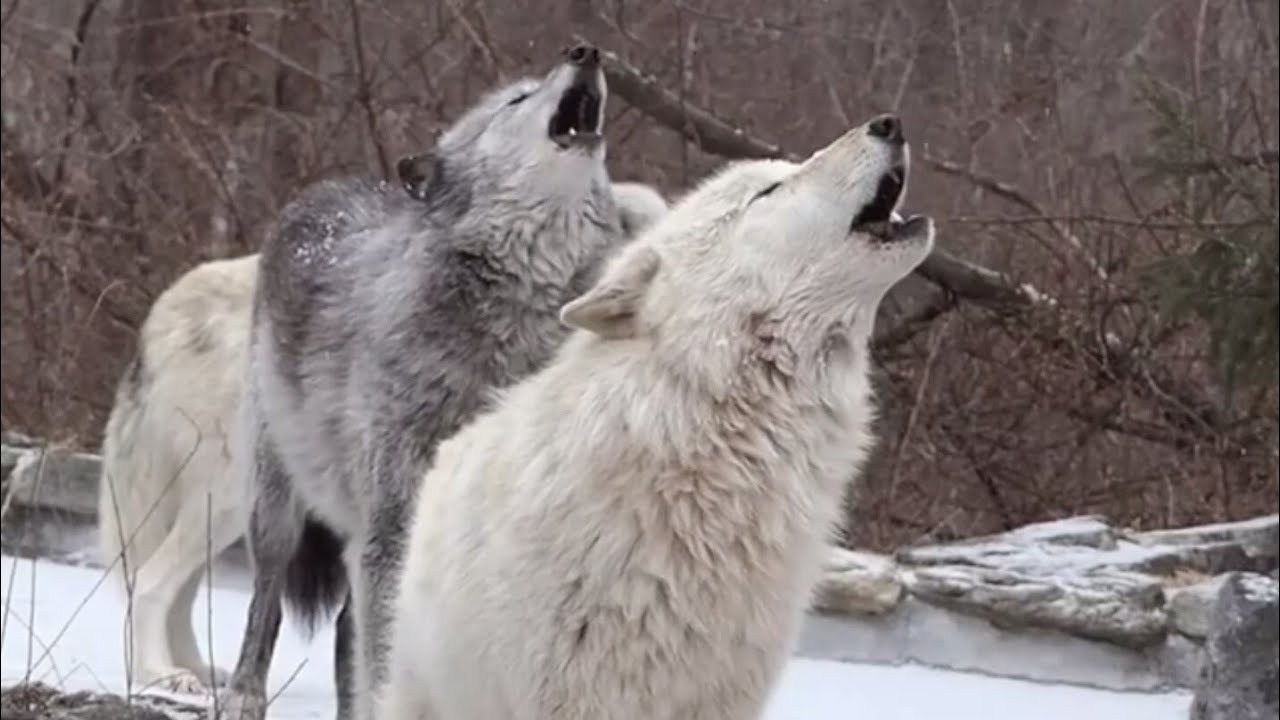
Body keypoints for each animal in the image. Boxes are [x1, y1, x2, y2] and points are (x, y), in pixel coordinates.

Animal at [95, 177, 665, 697]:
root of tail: (165, 307)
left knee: (178, 589)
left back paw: (193, 670)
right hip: (232, 501)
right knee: (150, 583)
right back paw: (162, 676)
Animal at [216, 43, 647, 720]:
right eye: (517, 99)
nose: (585, 50)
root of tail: (326, 188)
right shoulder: (395, 529)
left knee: (347, 631)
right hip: (278, 505)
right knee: (269, 599)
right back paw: (243, 693)